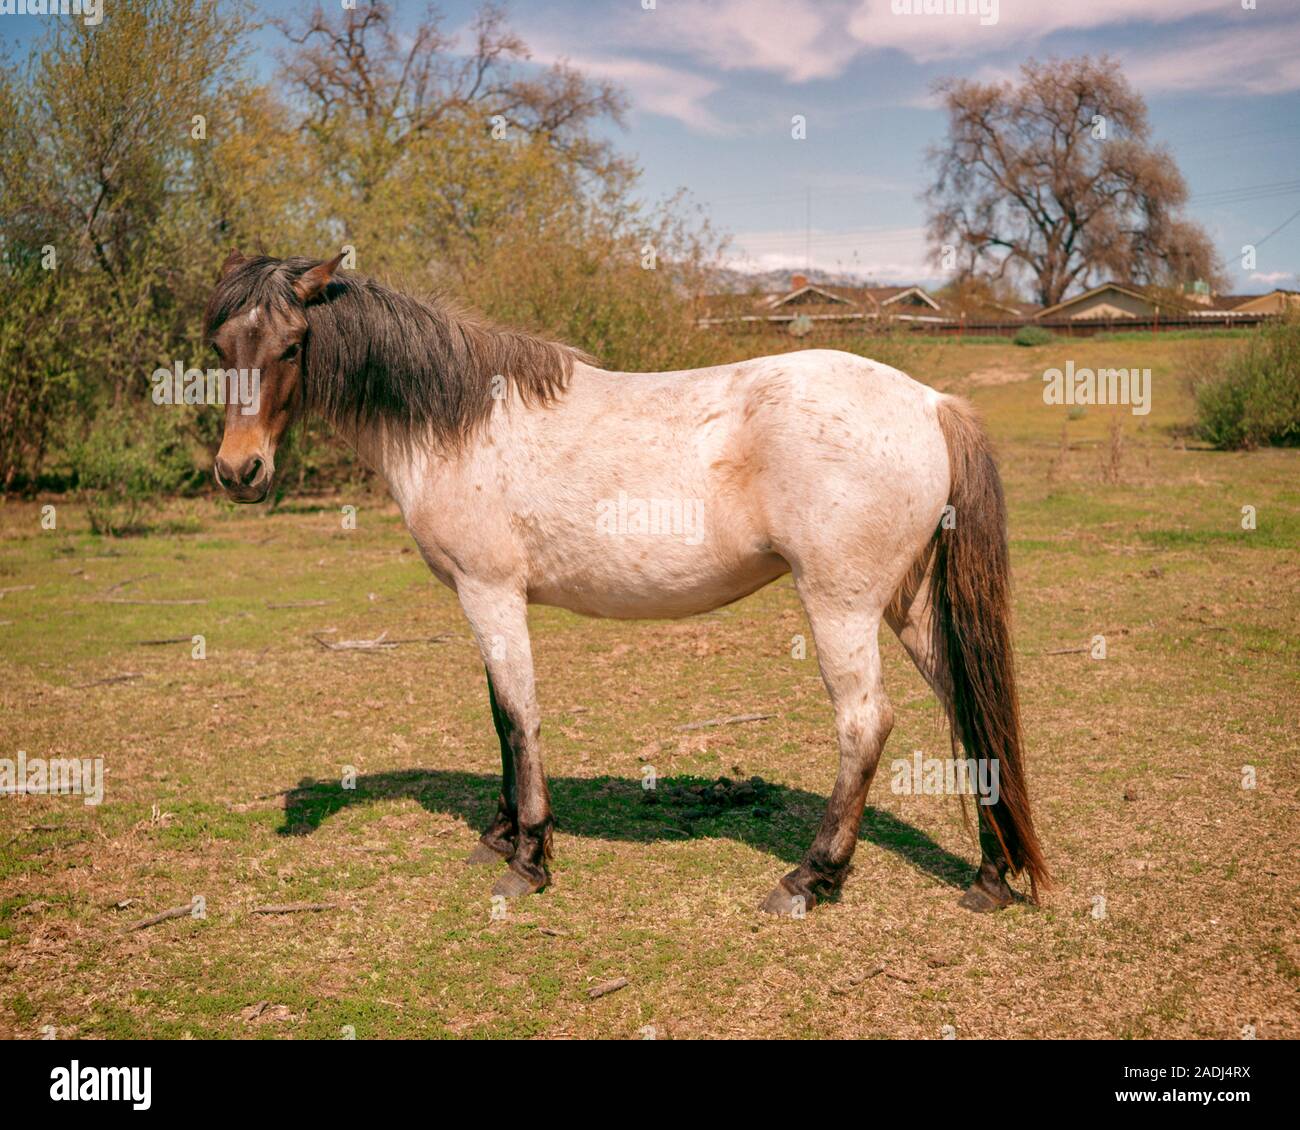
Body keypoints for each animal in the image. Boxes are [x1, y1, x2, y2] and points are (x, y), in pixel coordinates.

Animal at [205, 250, 1049, 914]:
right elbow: (498, 716)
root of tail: (931, 403)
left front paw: (528, 860)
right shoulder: (485, 602)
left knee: (865, 724)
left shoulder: (491, 593)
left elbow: (520, 717)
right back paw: (990, 874)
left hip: (840, 605)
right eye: (221, 346)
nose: (239, 471)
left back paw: (810, 879)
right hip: (905, 605)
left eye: (291, 345)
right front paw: (499, 837)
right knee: (969, 706)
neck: (462, 422)